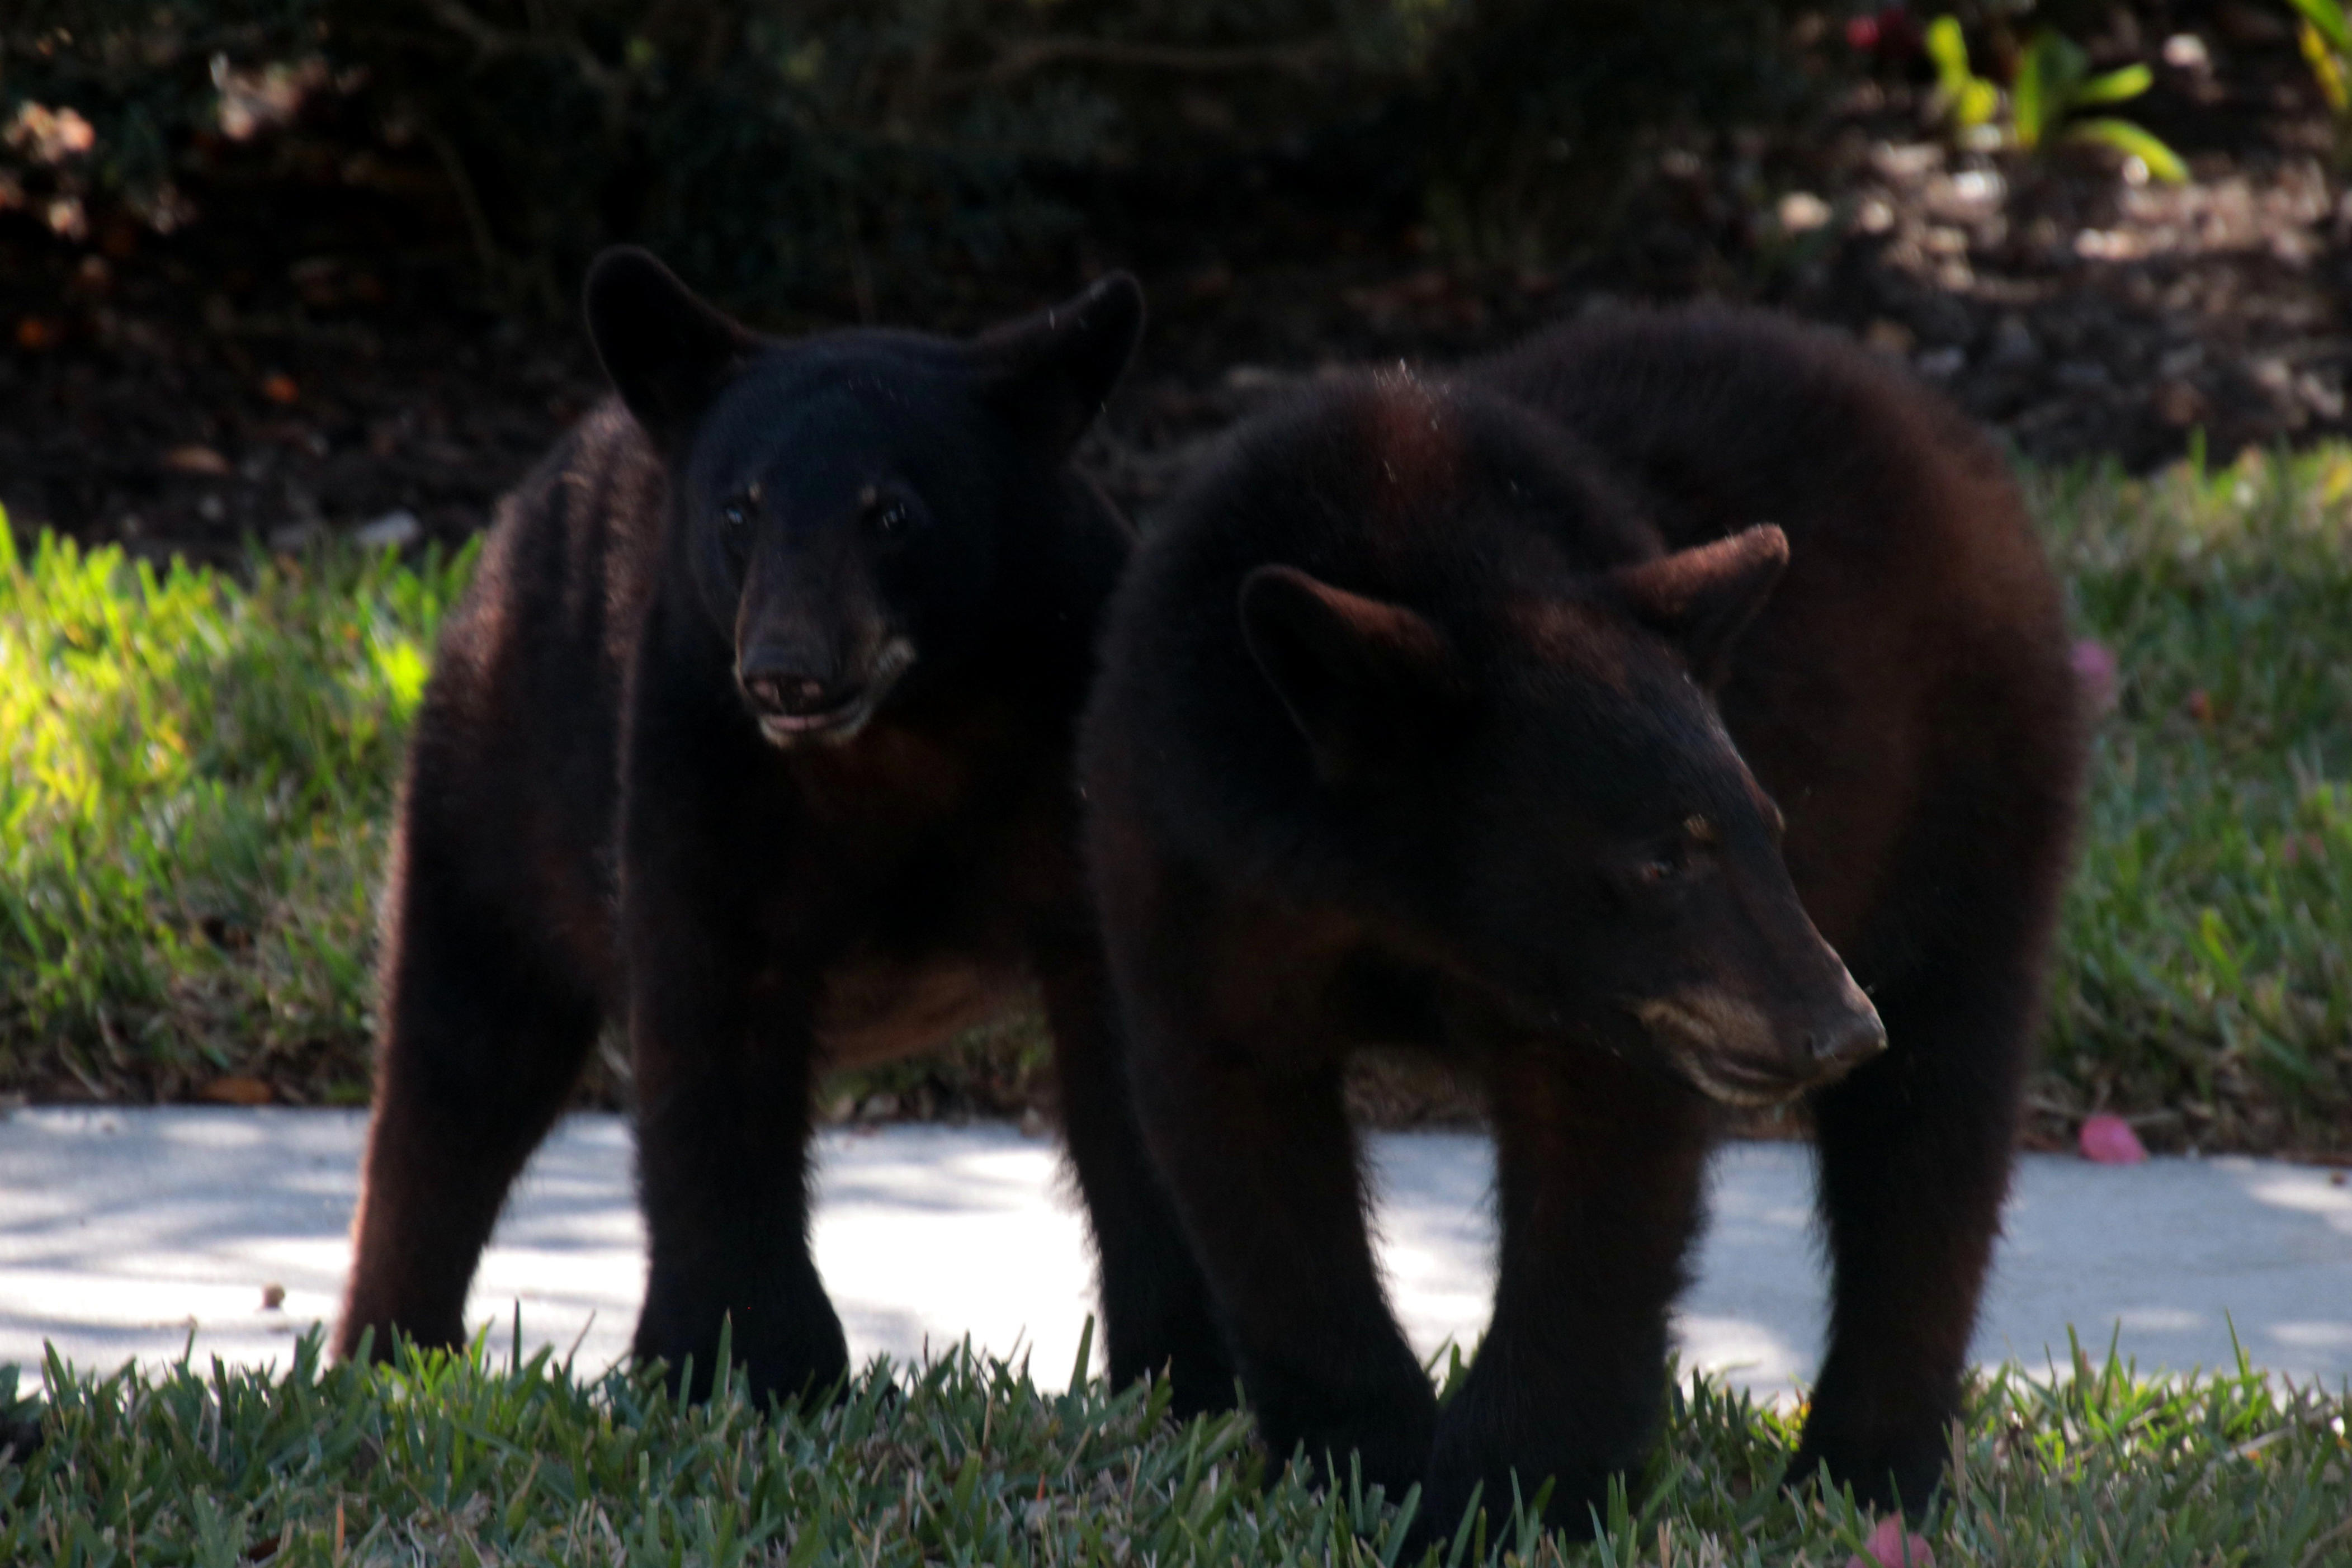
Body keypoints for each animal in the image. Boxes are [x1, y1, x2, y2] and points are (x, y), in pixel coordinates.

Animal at [335, 247, 1232, 1414]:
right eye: (739, 510)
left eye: (892, 512)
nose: (787, 670)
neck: (902, 735)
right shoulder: (699, 764)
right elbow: (713, 1039)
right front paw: (741, 1359)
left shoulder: (1079, 755)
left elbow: (1135, 1054)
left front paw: (1189, 1369)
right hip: (498, 793)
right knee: (457, 1065)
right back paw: (387, 1353)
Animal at [1078, 306, 2084, 1537]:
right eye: (1656, 857)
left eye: (1767, 823)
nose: (1836, 1024)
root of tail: (1938, 421)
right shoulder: (1186, 868)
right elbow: (1245, 1145)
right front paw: (1367, 1459)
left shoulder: (1626, 1012)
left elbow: (1599, 1182)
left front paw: (1505, 1492)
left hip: (1970, 806)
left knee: (1935, 1121)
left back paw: (1865, 1469)